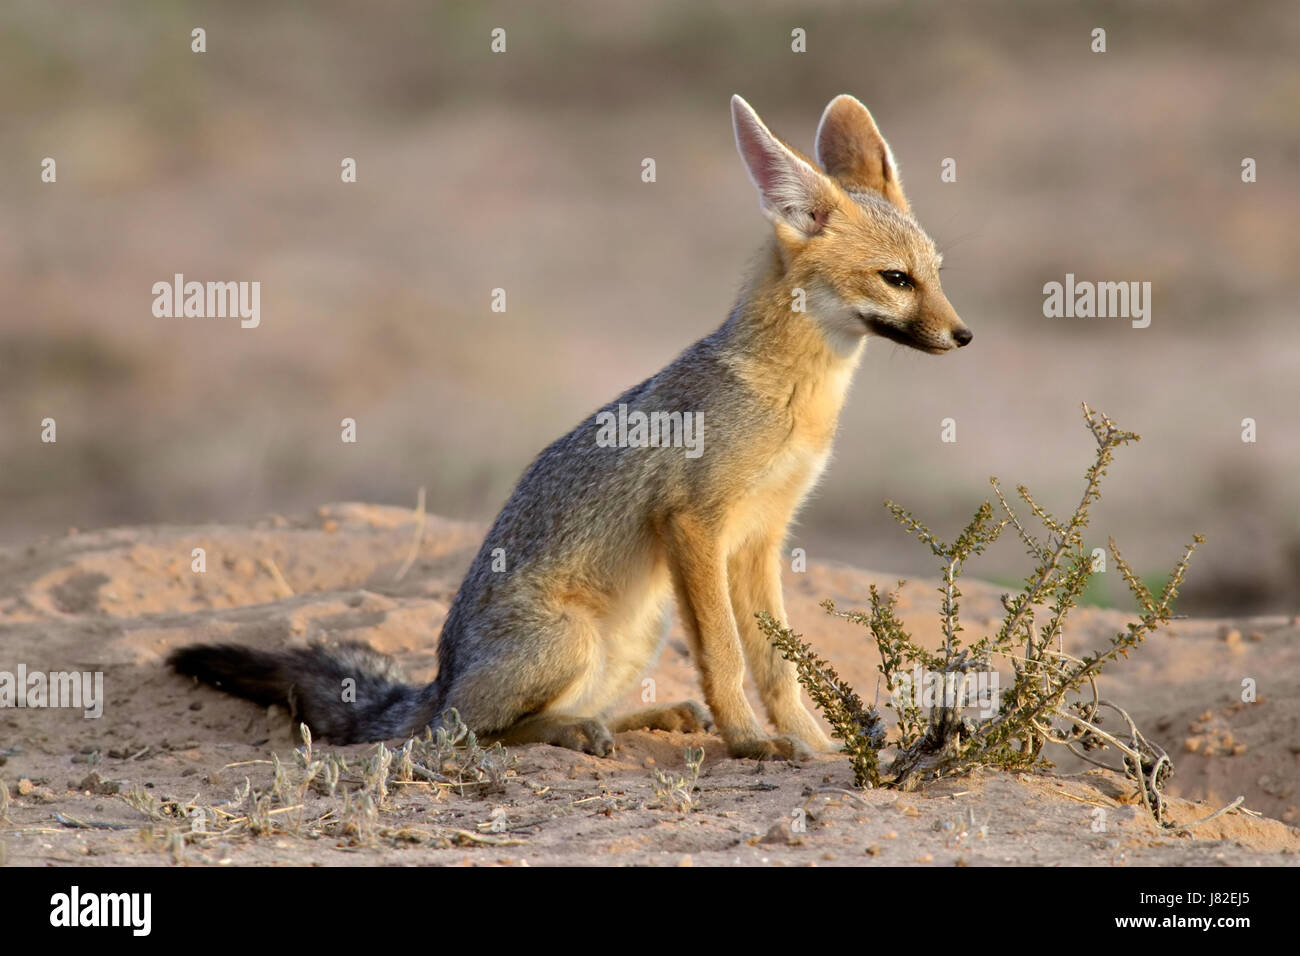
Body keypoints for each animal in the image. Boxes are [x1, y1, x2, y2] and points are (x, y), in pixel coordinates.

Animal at [169, 94, 971, 760]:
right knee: (472, 732)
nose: (963, 336)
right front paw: (751, 743)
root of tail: (437, 681)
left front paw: (814, 743)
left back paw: (639, 719)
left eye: (937, 272)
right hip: (572, 641)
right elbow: (726, 656)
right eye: (896, 280)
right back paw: (575, 731)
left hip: (637, 634)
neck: (791, 397)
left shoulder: (761, 539)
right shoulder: (695, 524)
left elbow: (779, 663)